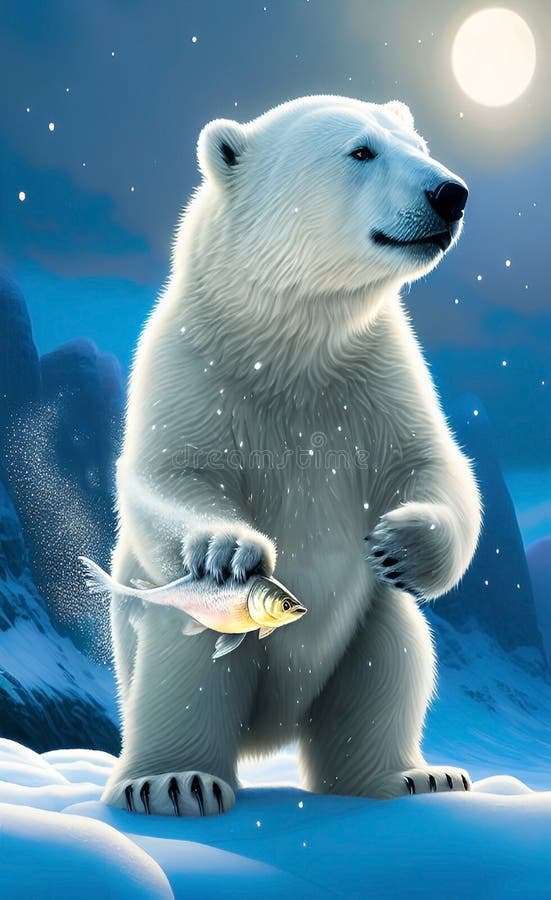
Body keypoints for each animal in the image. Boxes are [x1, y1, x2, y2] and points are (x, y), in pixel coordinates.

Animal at [102, 95, 482, 816]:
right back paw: (172, 780)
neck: (293, 343)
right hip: (176, 625)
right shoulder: (189, 367)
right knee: (184, 674)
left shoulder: (379, 376)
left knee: (390, 669)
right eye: (361, 151)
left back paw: (410, 777)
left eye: (418, 144)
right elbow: (166, 471)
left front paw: (399, 544)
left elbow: (432, 464)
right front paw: (228, 549)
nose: (451, 193)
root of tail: (269, 735)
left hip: (365, 629)